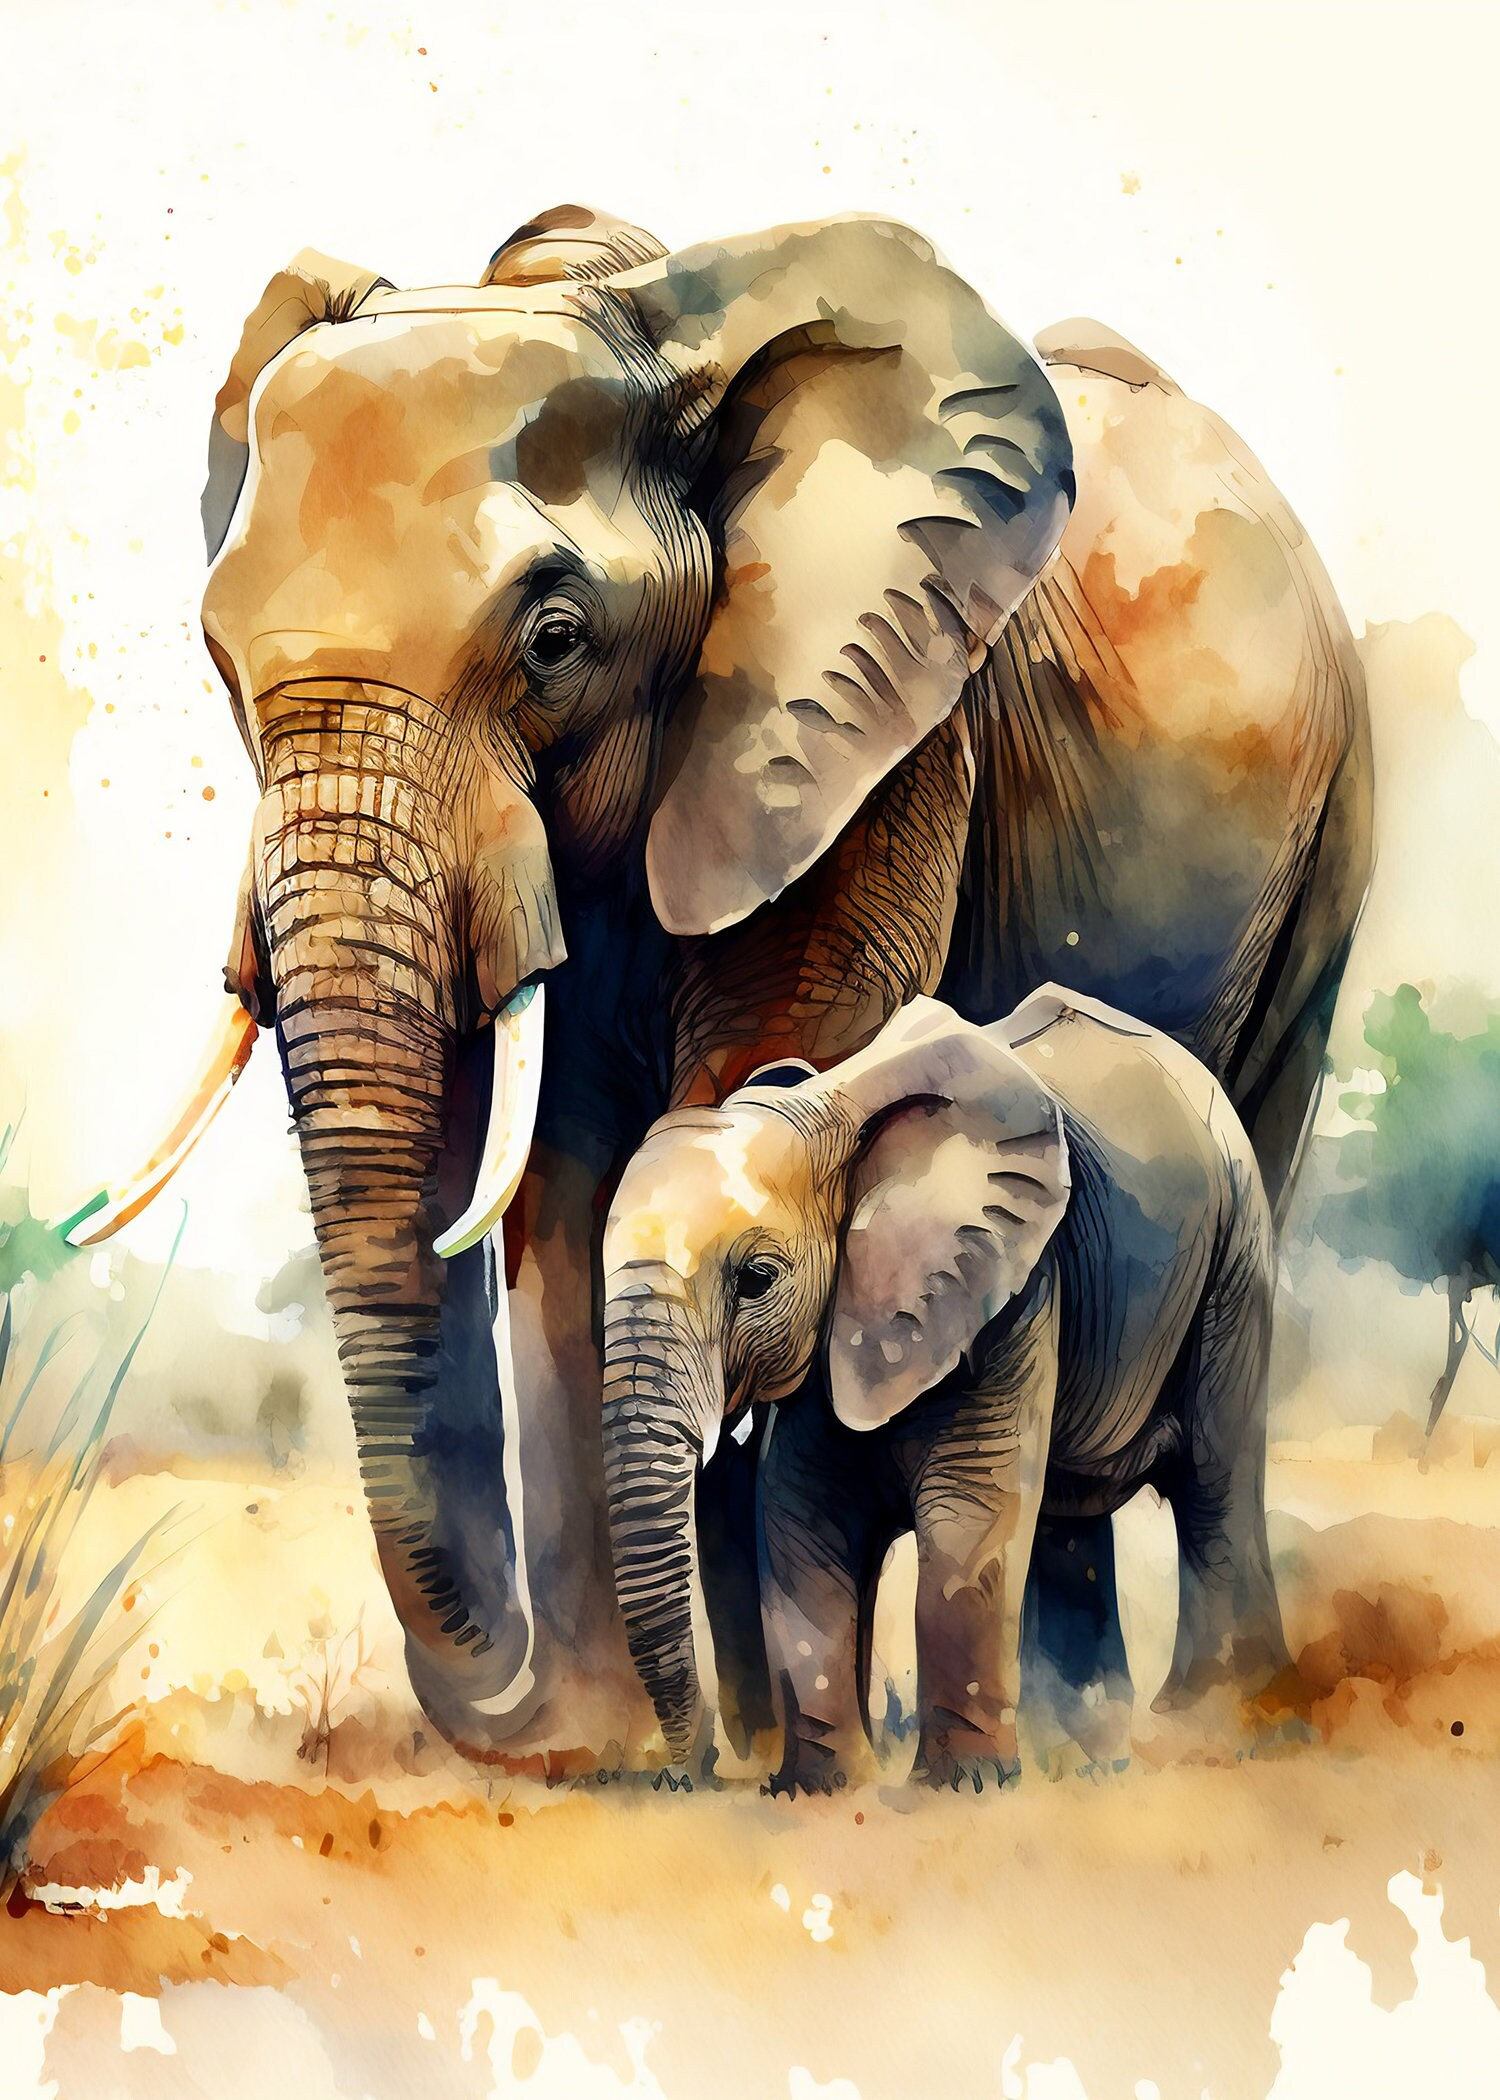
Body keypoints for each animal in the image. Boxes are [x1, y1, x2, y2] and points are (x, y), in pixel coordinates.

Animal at [601, 986, 1290, 1790]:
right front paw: (823, 1791)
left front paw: (962, 1791)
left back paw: (1218, 1725)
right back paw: (1086, 1751)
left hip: (1237, 1250)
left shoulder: (1012, 1286)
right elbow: (802, 1519)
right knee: (1069, 1521)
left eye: (756, 1279)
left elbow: (967, 1512)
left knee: (1216, 1481)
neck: (829, 1108)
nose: (694, 1769)